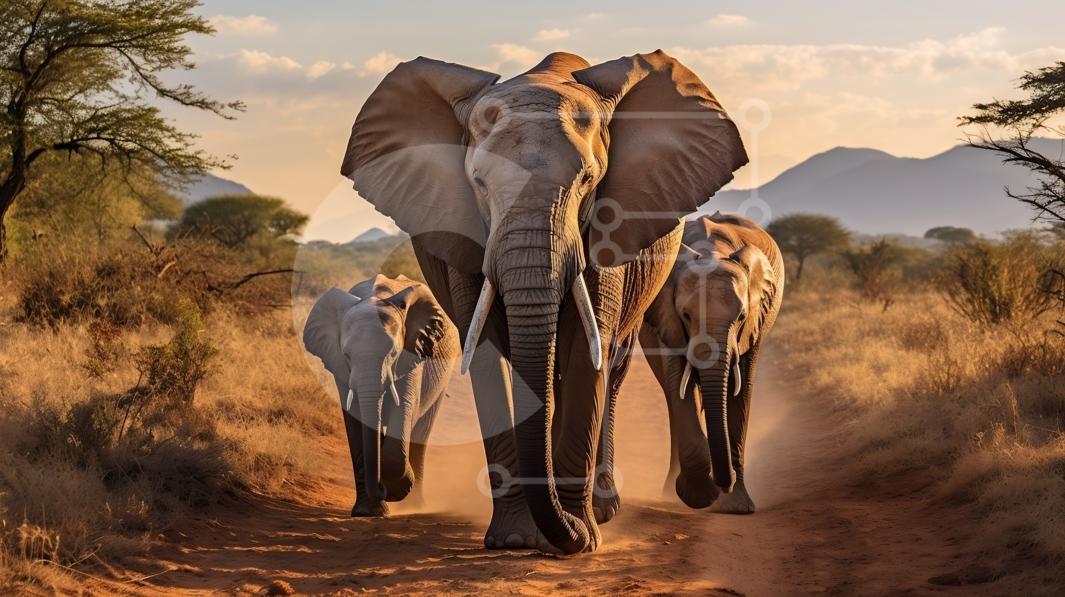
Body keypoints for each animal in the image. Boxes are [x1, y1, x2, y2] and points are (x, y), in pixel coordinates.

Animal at [303, 274, 458, 517]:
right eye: (346, 355)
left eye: (394, 353)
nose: (381, 488)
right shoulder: (340, 367)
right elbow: (355, 416)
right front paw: (367, 512)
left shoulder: (413, 352)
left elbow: (404, 408)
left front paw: (396, 489)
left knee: (421, 430)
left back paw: (414, 506)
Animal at [340, 50, 747, 553]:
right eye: (478, 182)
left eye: (589, 180)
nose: (563, 533)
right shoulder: (466, 234)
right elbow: (489, 356)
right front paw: (515, 539)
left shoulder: (609, 228)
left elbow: (586, 354)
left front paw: (579, 539)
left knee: (611, 367)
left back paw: (601, 509)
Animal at [641, 212, 784, 515]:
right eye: (685, 315)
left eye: (741, 316)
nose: (722, 484)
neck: (712, 252)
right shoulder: (667, 318)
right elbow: (678, 386)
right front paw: (699, 496)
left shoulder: (754, 325)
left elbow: (740, 391)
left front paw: (736, 507)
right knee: (673, 395)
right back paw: (671, 494)